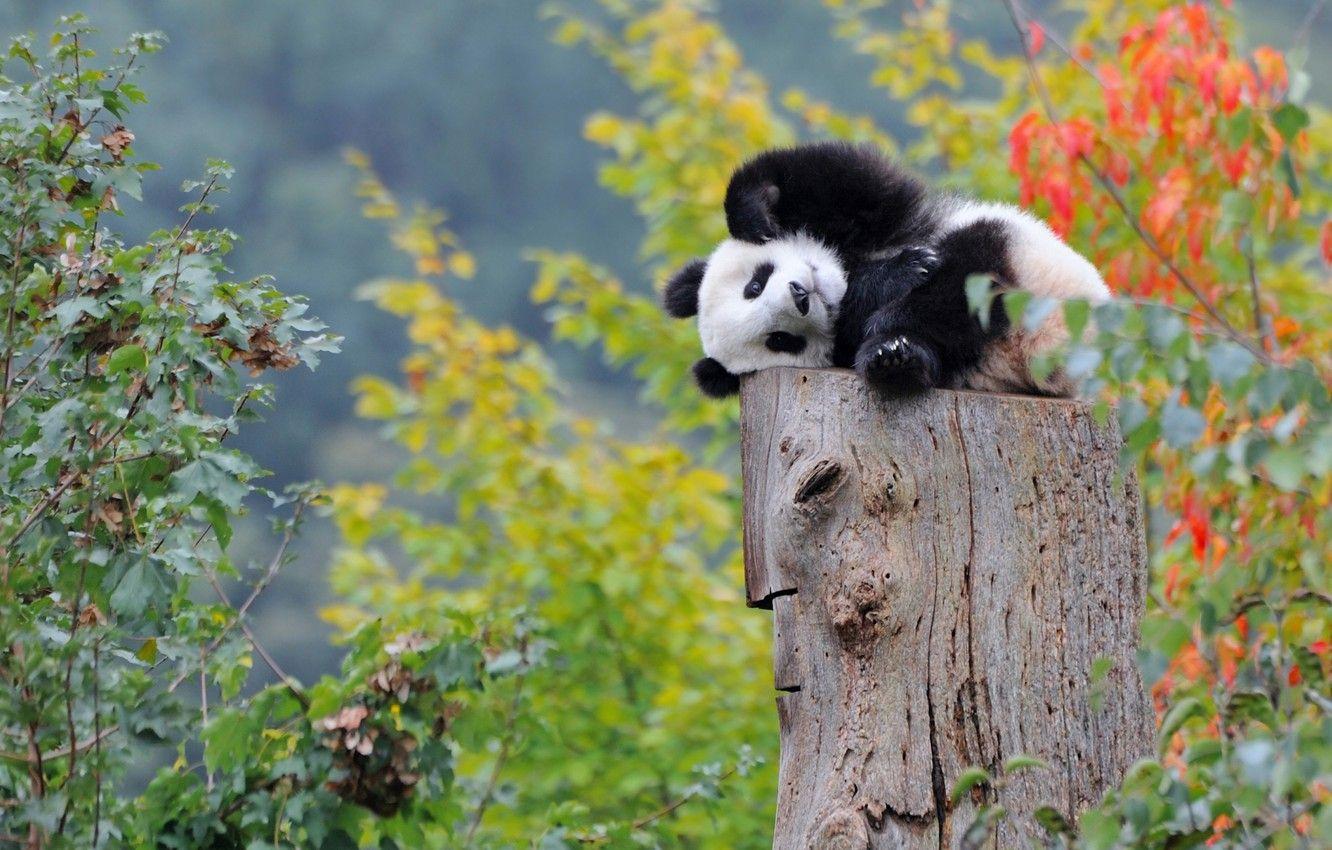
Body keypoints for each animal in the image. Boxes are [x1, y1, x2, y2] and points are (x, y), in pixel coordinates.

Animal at [661, 142, 1110, 398]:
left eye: (754, 284)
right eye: (780, 340)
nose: (801, 296)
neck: (846, 266)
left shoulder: (875, 216)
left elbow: (836, 176)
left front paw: (755, 216)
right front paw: (888, 282)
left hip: (1035, 263)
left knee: (970, 270)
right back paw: (894, 353)